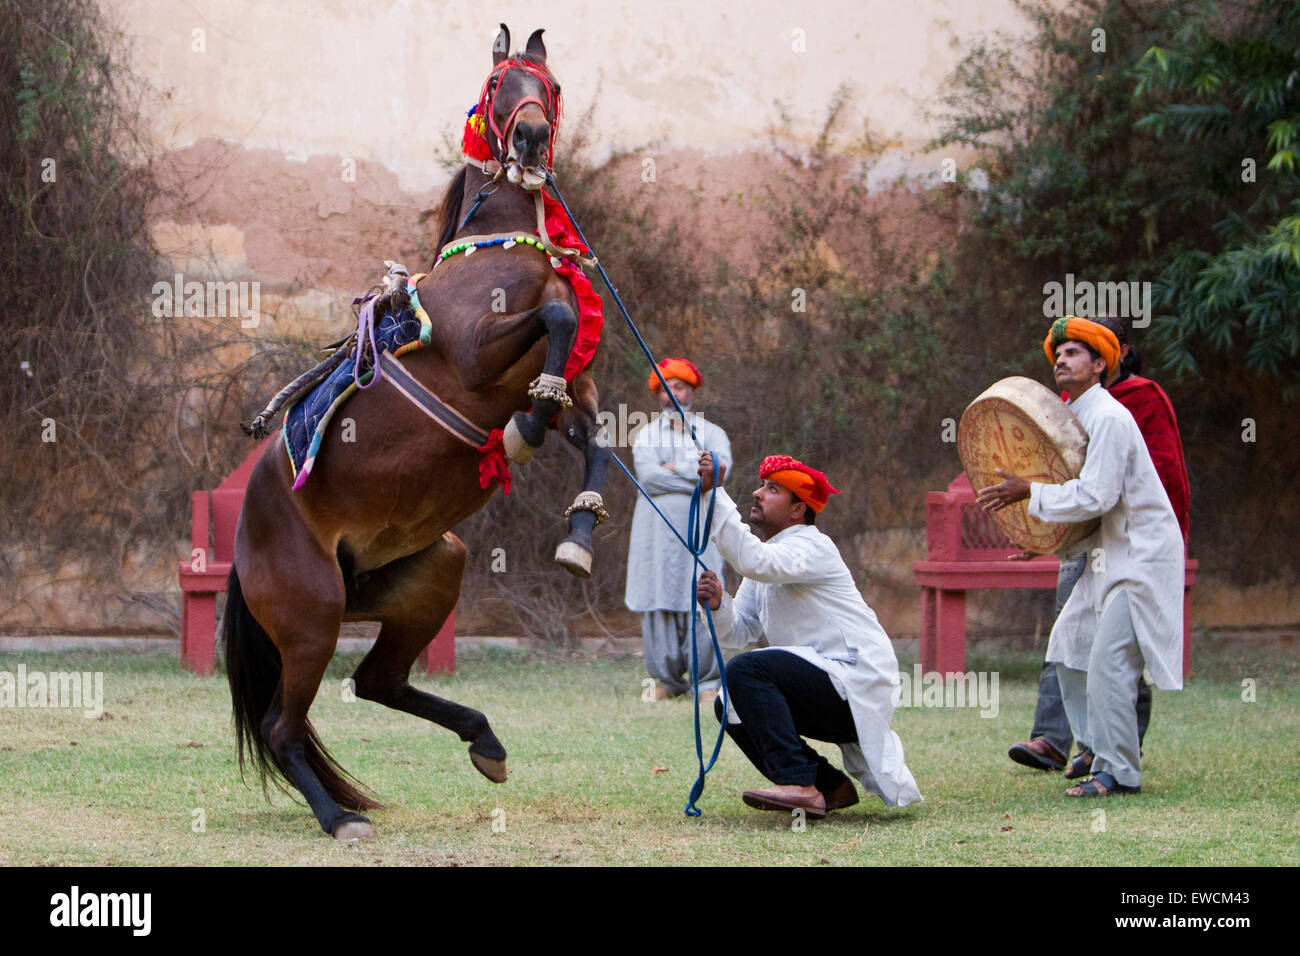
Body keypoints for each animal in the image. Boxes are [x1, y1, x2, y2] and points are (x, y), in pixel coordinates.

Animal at [223, 24, 611, 839]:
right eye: (498, 86)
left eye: (552, 87)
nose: (529, 138)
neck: (500, 249)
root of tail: (245, 544)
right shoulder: (477, 352)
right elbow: (557, 318)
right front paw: (522, 432)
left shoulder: (570, 385)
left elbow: (593, 435)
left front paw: (577, 538)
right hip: (313, 614)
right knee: (283, 726)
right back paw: (340, 818)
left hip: (427, 572)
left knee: (377, 680)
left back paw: (483, 740)